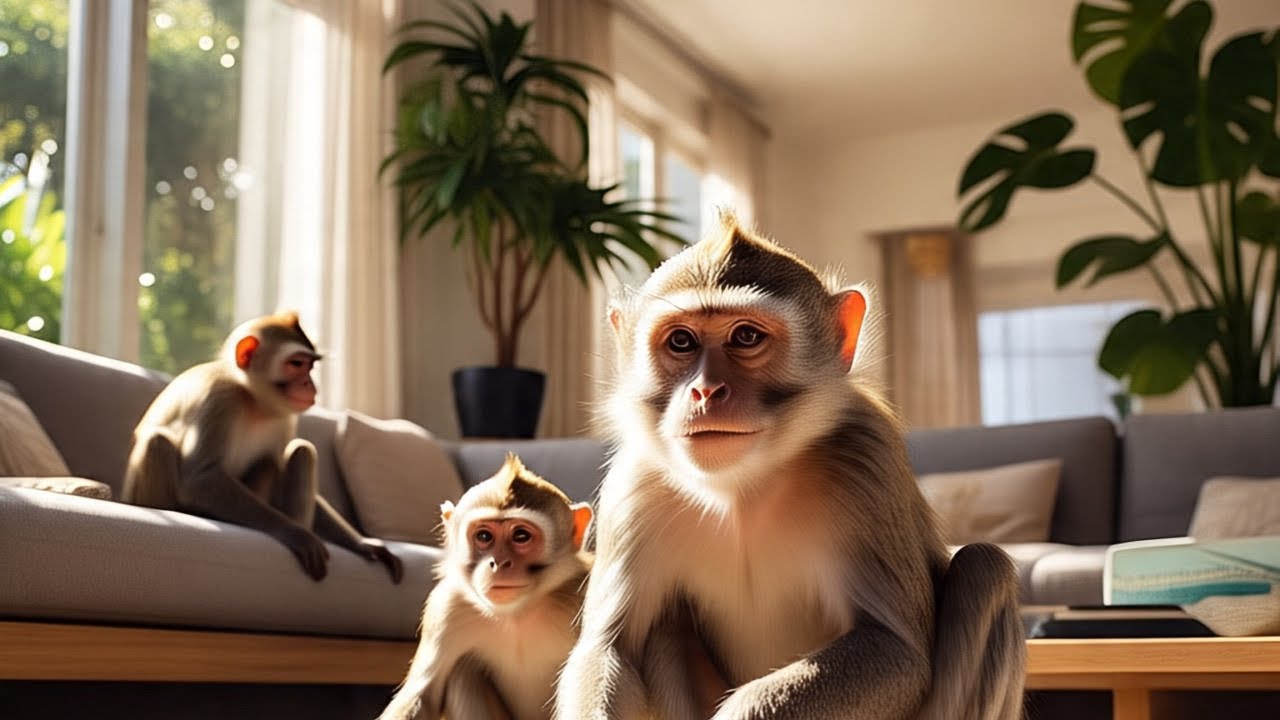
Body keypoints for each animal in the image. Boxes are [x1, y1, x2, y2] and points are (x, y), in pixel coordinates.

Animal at [121, 311, 403, 584]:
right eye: (296, 363)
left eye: (311, 365)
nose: (311, 385)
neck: (253, 400)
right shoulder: (221, 397)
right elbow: (199, 478)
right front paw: (295, 532)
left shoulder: (286, 417)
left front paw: (363, 544)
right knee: (157, 441)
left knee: (292, 454)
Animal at [379, 453, 593, 720]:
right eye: (484, 536)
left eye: (521, 536)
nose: (499, 563)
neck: (517, 614)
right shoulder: (448, 608)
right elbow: (422, 696)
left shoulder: (582, 596)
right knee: (463, 670)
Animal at [553, 213, 1025, 720]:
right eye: (681, 340)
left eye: (746, 336)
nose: (705, 390)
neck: (742, 486)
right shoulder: (636, 484)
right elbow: (611, 647)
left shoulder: (866, 460)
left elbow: (895, 648)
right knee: (665, 627)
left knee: (984, 568)